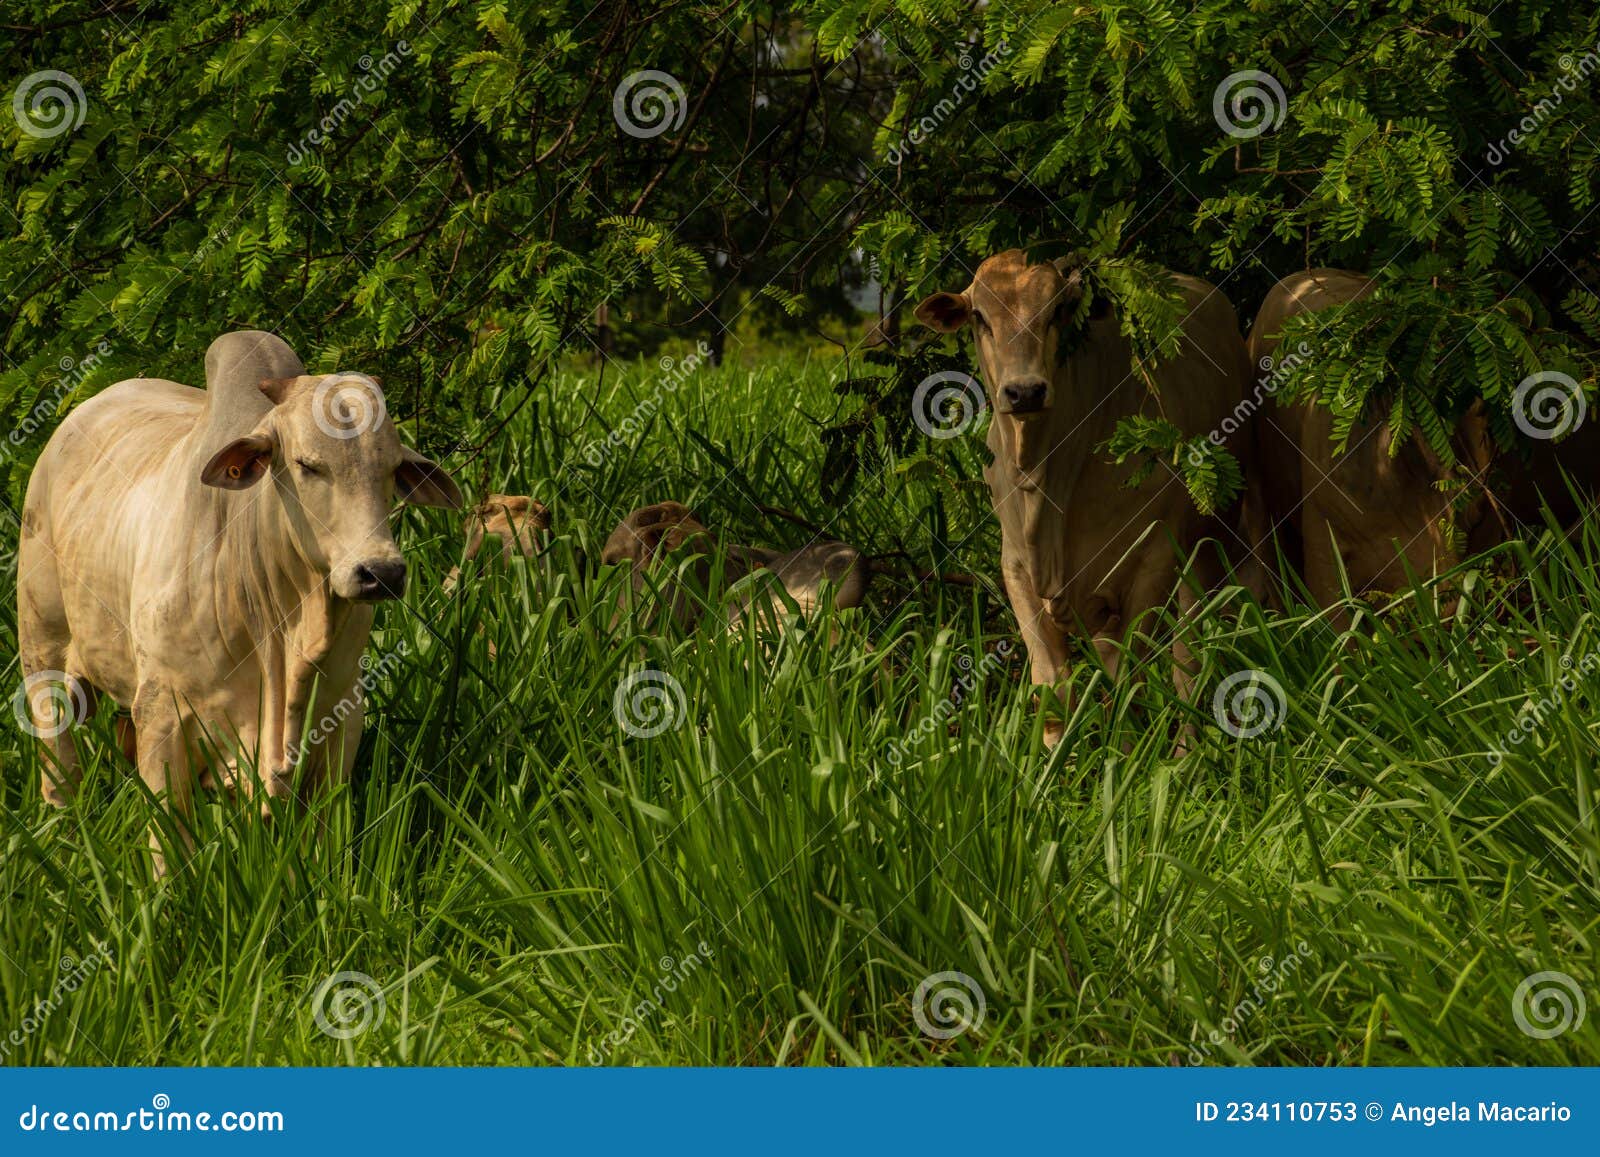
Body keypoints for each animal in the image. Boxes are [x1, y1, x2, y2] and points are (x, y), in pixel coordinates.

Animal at [16, 330, 461, 872]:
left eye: (394, 469)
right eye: (307, 465)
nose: (382, 572)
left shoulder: (343, 714)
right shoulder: (162, 714)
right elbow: (170, 844)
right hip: (42, 651)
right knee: (58, 764)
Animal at [914, 250, 1262, 743]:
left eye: (1057, 310)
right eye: (980, 317)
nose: (1024, 391)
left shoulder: (1152, 557)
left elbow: (1130, 676)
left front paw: (1125, 750)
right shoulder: (1016, 566)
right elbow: (1052, 684)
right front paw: (1057, 756)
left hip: (1209, 540)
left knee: (1189, 654)